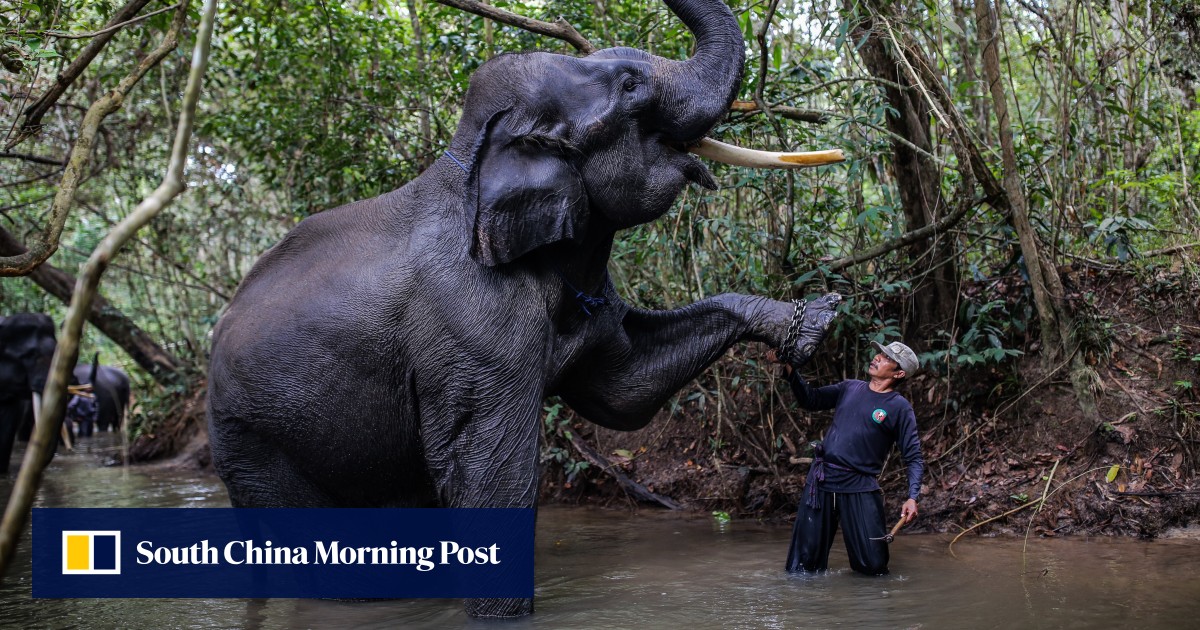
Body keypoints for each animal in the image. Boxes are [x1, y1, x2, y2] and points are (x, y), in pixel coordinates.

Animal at [207, 0, 843, 618]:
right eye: (631, 84)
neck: (473, 160)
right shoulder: (471, 324)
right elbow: (490, 477)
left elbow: (623, 389)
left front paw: (813, 321)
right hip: (255, 439)